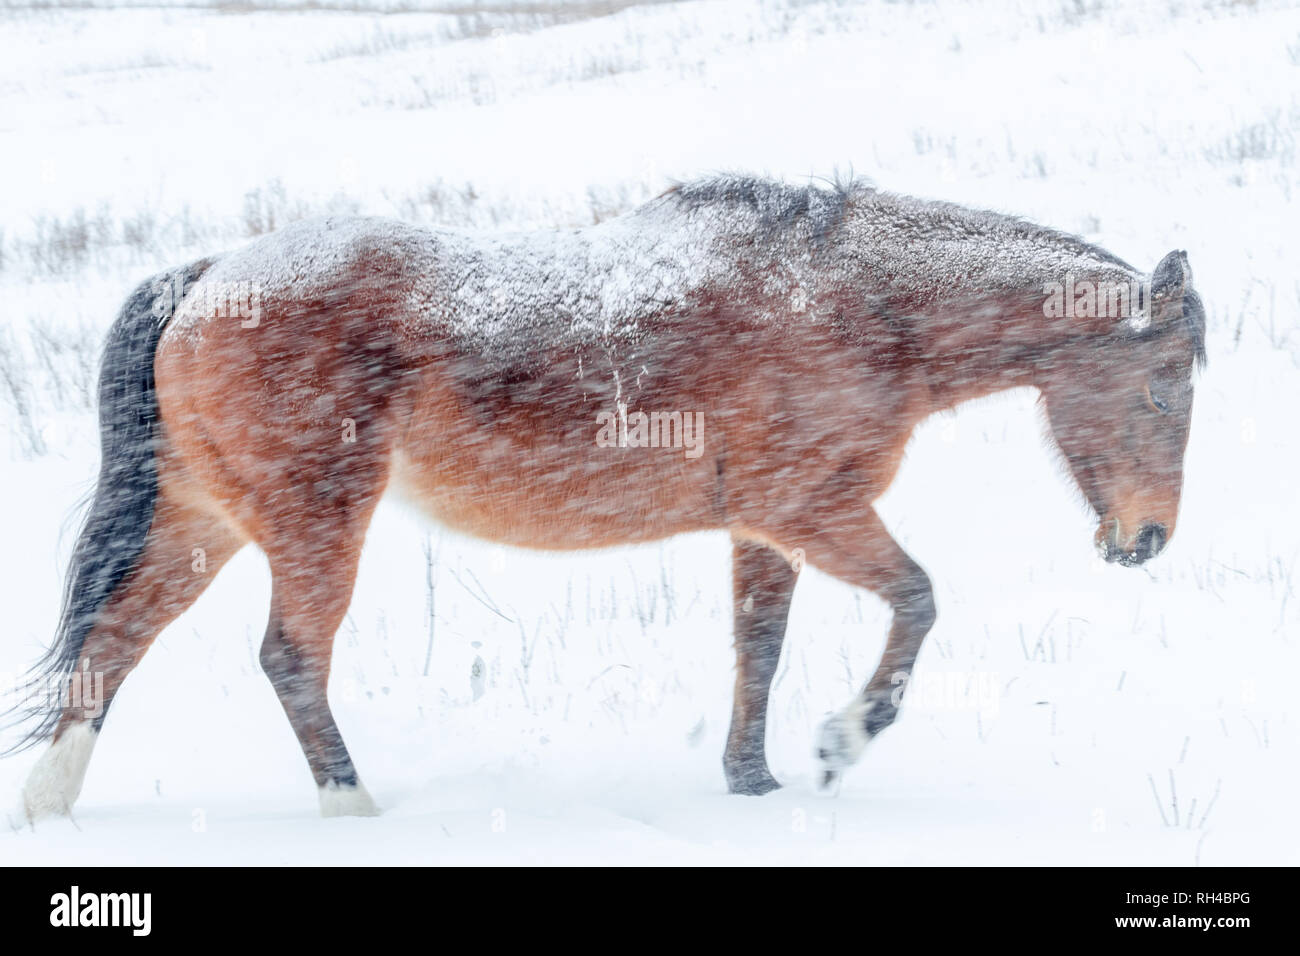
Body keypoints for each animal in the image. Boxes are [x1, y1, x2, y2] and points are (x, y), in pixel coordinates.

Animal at [9, 175, 1205, 819]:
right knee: (290, 658)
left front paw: (753, 781)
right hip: (313, 523)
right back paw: (355, 807)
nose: (1147, 539)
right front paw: (841, 743)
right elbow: (917, 600)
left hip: (202, 522)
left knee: (113, 644)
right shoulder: (812, 514)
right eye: (1163, 383)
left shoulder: (763, 529)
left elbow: (758, 648)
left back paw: (51, 806)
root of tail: (206, 279)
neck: (858, 307)